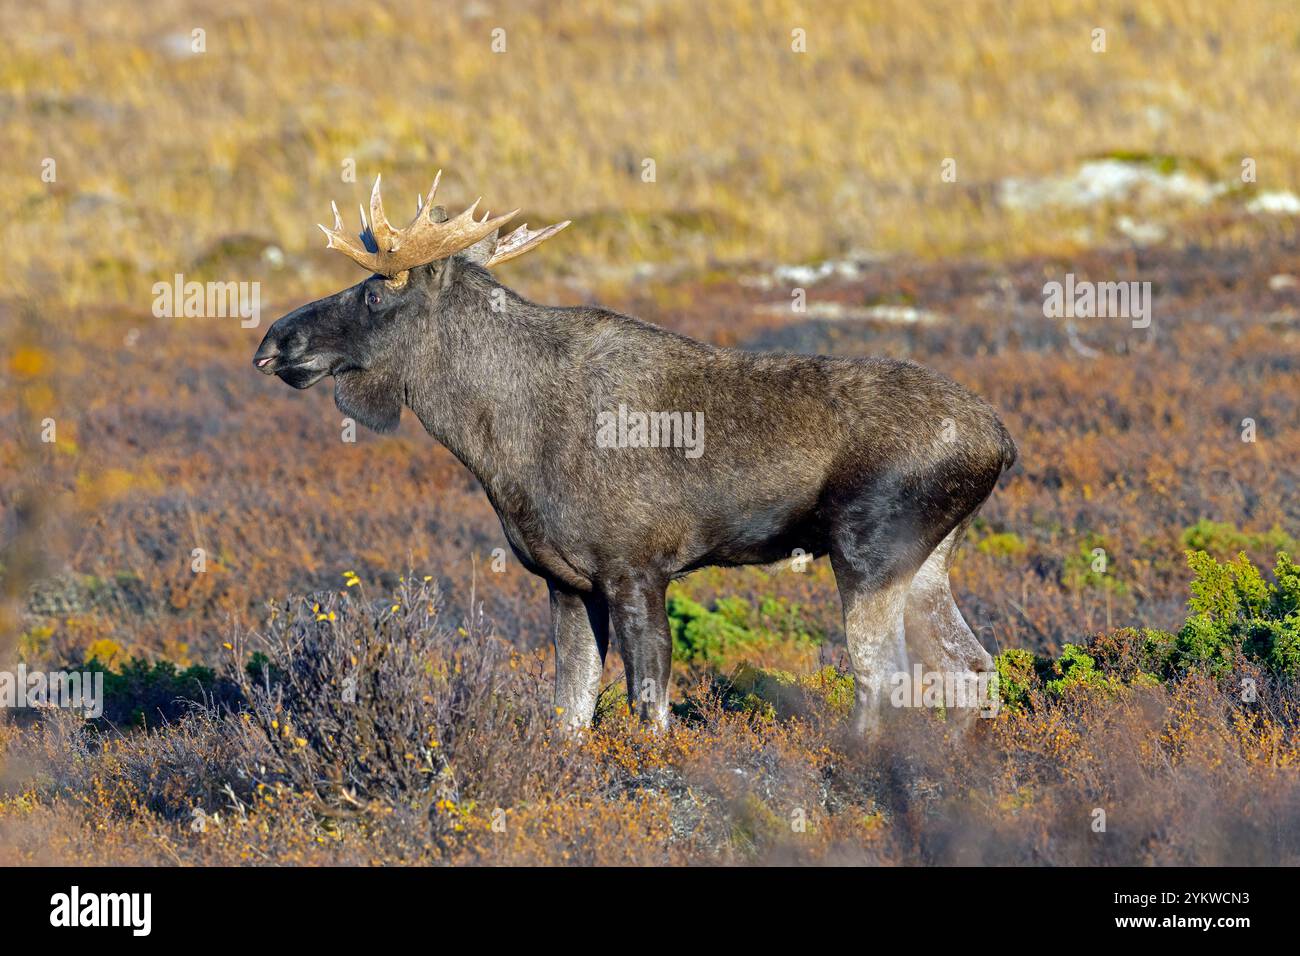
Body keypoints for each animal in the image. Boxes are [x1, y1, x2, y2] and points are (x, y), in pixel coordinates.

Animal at [252, 171, 1017, 737]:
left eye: (376, 290)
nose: (273, 342)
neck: (496, 441)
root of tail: (1002, 443)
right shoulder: (566, 579)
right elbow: (571, 713)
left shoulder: (636, 570)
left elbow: (648, 708)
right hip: (927, 561)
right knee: (971, 667)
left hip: (869, 552)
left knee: (884, 678)